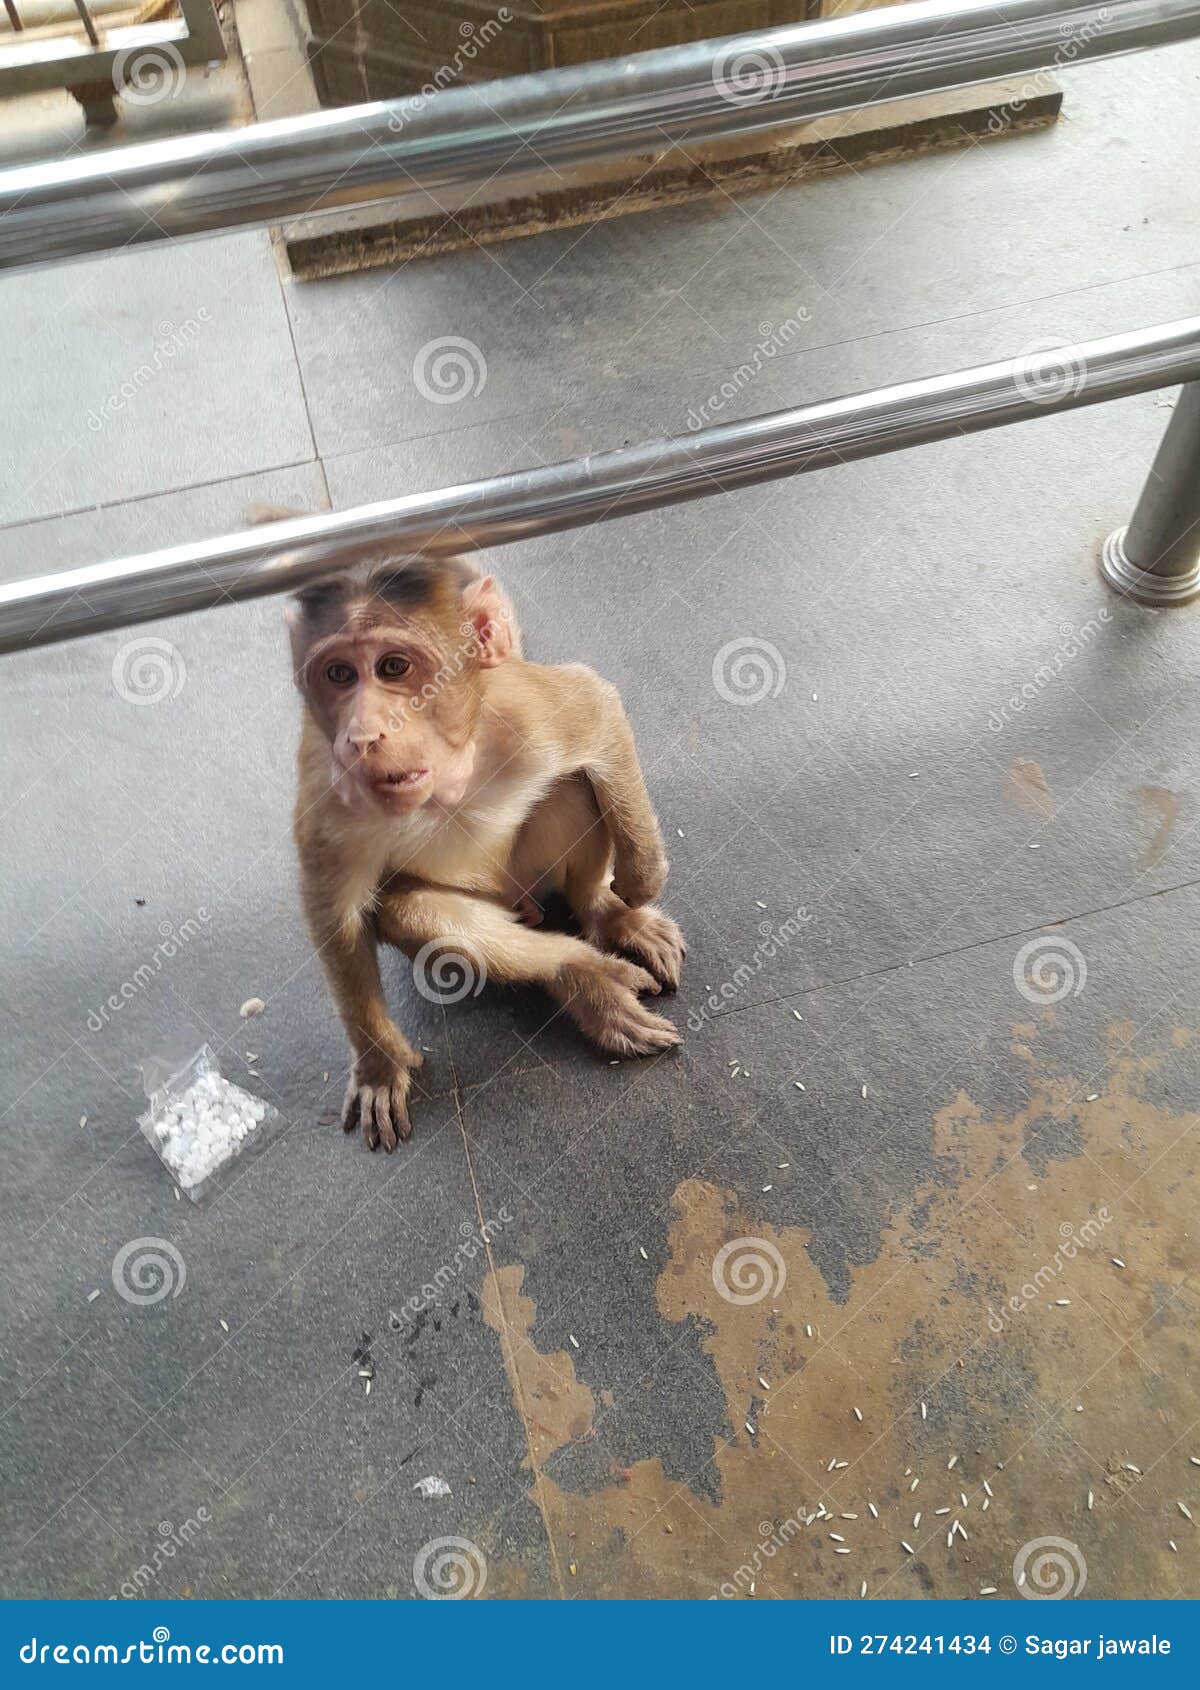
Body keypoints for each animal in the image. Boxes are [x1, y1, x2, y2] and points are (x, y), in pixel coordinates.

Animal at [288, 547, 685, 1152]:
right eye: (339, 674)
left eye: (393, 667)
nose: (363, 735)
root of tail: (519, 896)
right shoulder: (328, 789)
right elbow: (338, 919)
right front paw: (379, 1062)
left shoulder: (520, 709)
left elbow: (597, 706)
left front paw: (641, 877)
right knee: (410, 909)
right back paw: (582, 972)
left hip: (535, 870)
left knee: (573, 782)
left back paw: (604, 913)